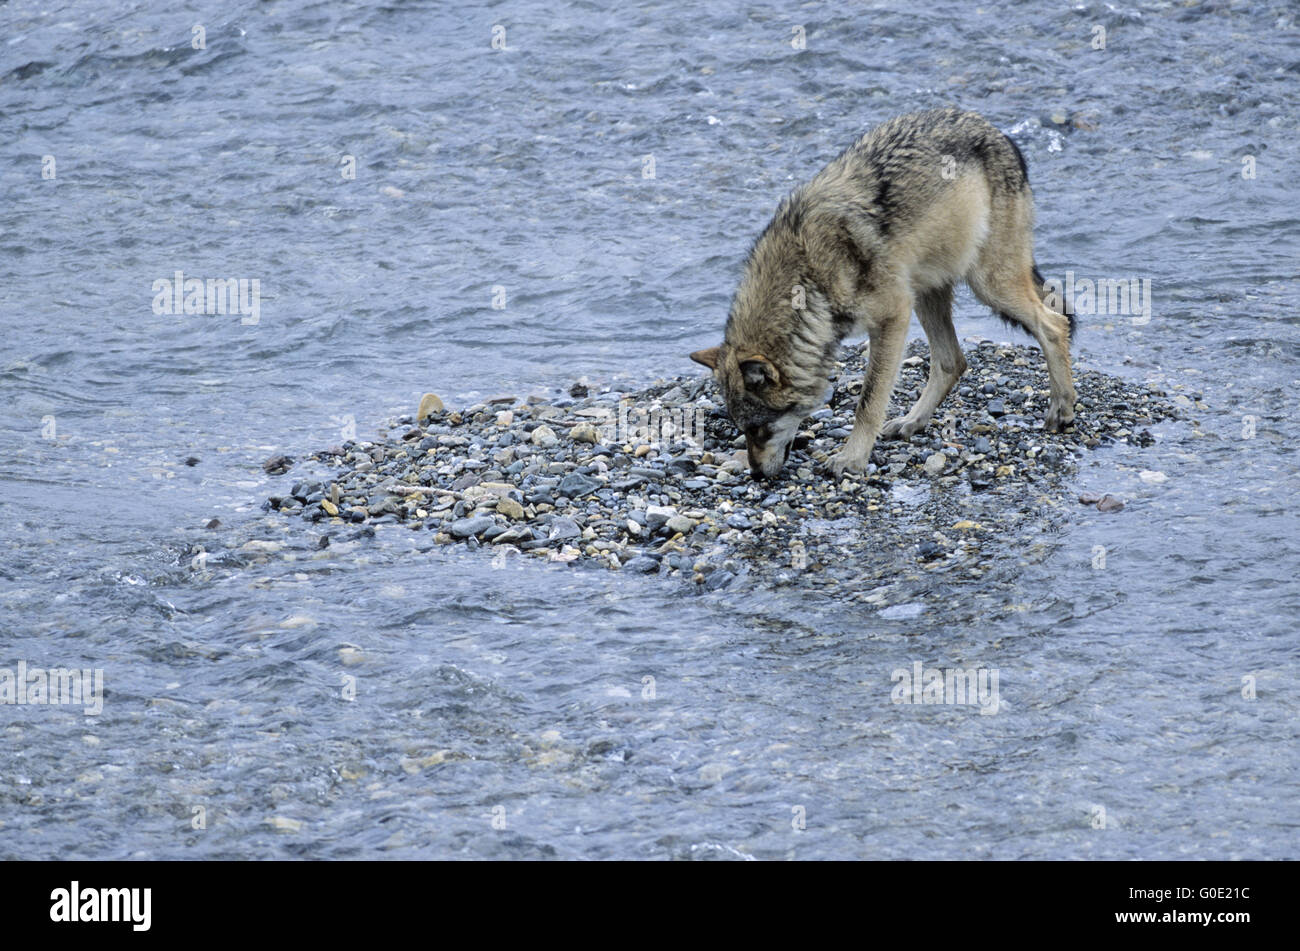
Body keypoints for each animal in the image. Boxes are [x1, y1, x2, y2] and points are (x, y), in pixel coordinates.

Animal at [689, 108, 1076, 480]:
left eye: (758, 428)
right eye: (742, 429)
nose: (755, 475)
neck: (808, 273)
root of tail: (998, 133)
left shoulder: (892, 317)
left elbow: (868, 401)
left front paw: (851, 459)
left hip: (987, 284)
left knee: (1054, 324)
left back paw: (1062, 409)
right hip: (927, 292)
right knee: (952, 361)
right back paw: (911, 422)